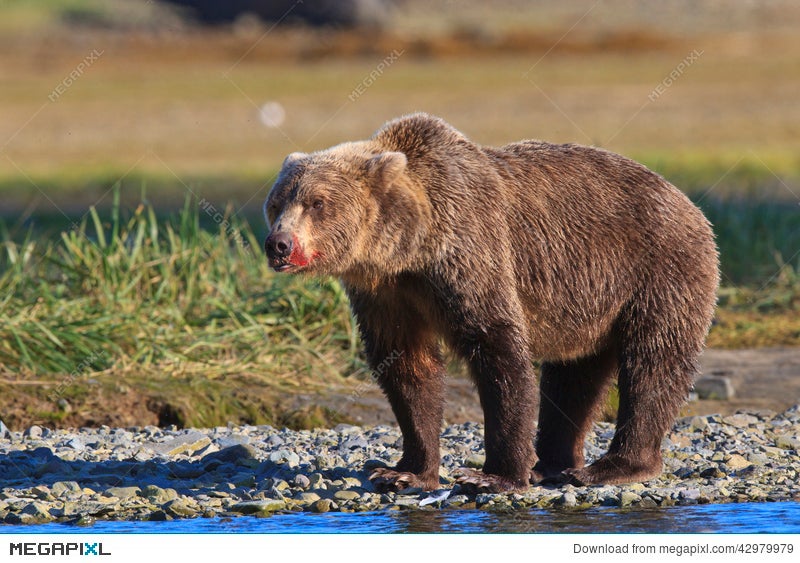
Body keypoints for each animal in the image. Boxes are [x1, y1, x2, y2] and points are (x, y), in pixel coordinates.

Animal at [263, 113, 719, 493]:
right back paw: (554, 464)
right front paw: (405, 470)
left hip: (657, 268)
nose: (279, 244)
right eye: (276, 202)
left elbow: (498, 351)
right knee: (575, 375)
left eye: (317, 202)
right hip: (590, 301)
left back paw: (616, 466)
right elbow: (408, 365)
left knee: (652, 363)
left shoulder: (470, 253)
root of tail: (688, 200)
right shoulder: (386, 293)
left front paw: (494, 474)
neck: (409, 249)